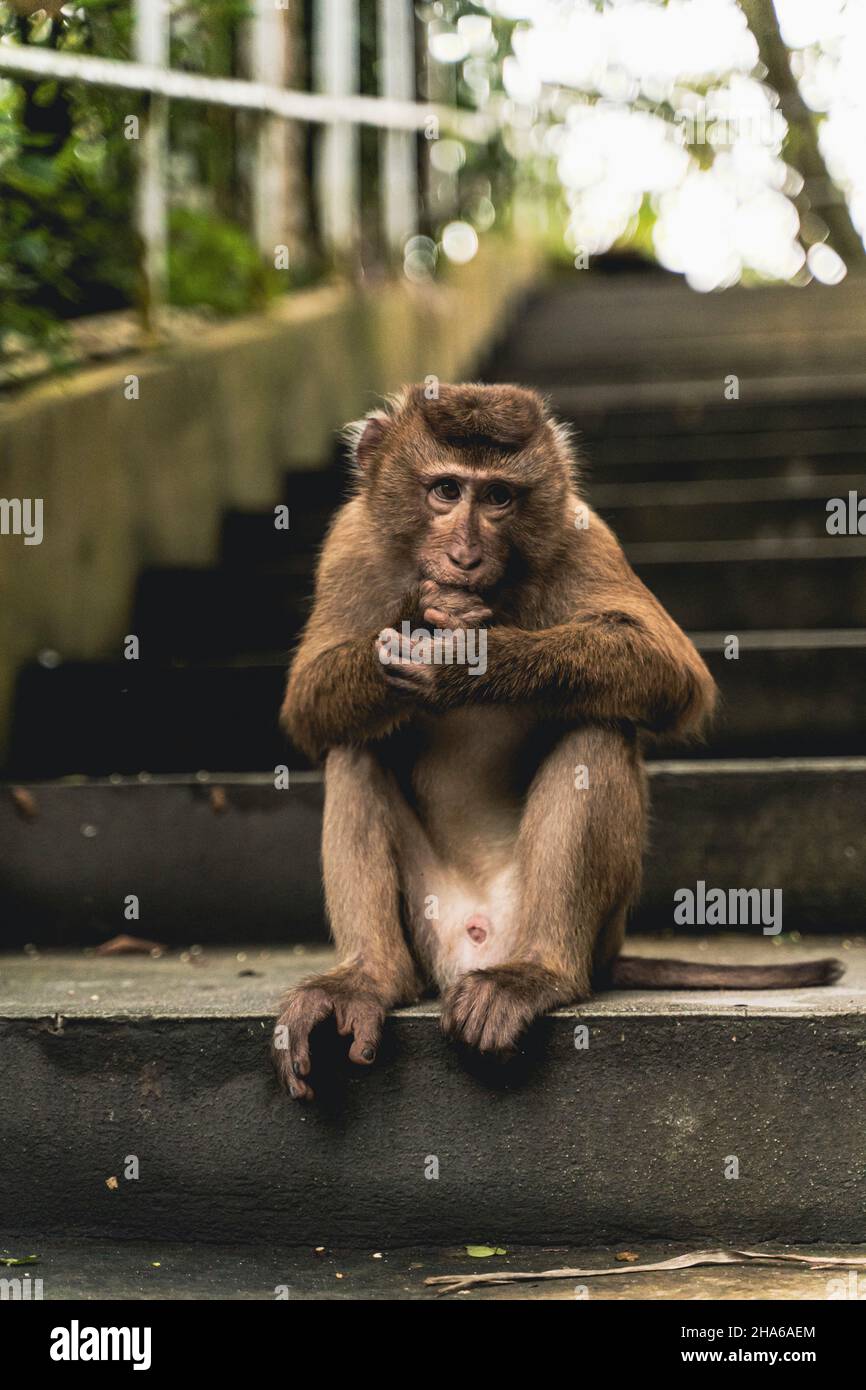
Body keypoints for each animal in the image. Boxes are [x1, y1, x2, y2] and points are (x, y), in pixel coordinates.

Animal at [272, 383, 843, 1099]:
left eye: (498, 497)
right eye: (445, 490)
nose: (464, 557)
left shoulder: (581, 535)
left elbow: (672, 670)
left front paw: (470, 658)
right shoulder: (349, 544)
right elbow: (308, 704)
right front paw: (420, 613)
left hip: (572, 926)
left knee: (596, 727)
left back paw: (538, 975)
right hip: (430, 932)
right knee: (354, 744)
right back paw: (367, 980)